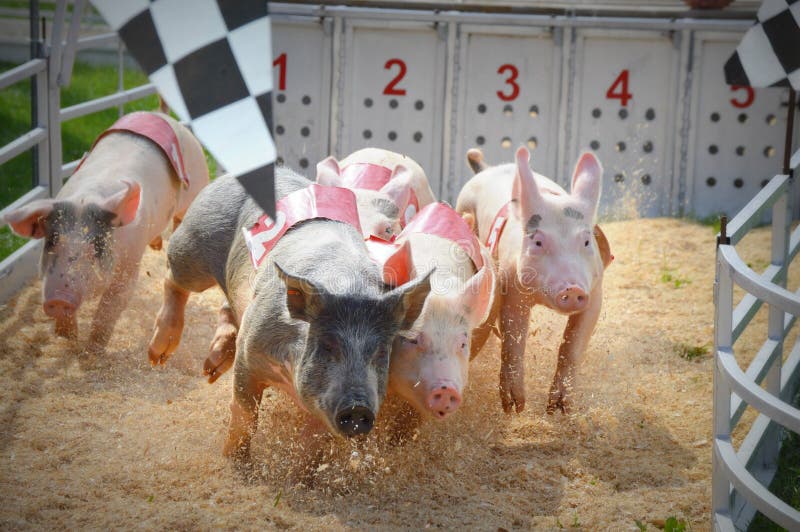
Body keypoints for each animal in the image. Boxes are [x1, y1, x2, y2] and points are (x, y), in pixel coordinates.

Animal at [2, 111, 209, 349]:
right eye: (52, 241)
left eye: (96, 245)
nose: (59, 298)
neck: (88, 197)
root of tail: (166, 116)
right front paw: (66, 338)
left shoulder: (130, 267)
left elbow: (109, 310)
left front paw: (94, 349)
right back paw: (157, 245)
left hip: (195, 188)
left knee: (180, 219)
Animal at [147, 168, 433, 461]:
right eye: (327, 344)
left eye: (380, 351)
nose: (358, 408)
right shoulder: (250, 353)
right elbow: (245, 416)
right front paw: (234, 464)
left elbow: (311, 445)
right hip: (195, 243)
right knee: (173, 277)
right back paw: (158, 357)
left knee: (225, 308)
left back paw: (210, 370)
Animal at [456, 147, 613, 414]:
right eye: (538, 241)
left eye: (585, 241)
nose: (572, 288)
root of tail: (487, 169)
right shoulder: (511, 286)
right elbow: (514, 340)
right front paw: (514, 407)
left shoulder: (594, 293)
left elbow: (573, 345)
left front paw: (559, 408)